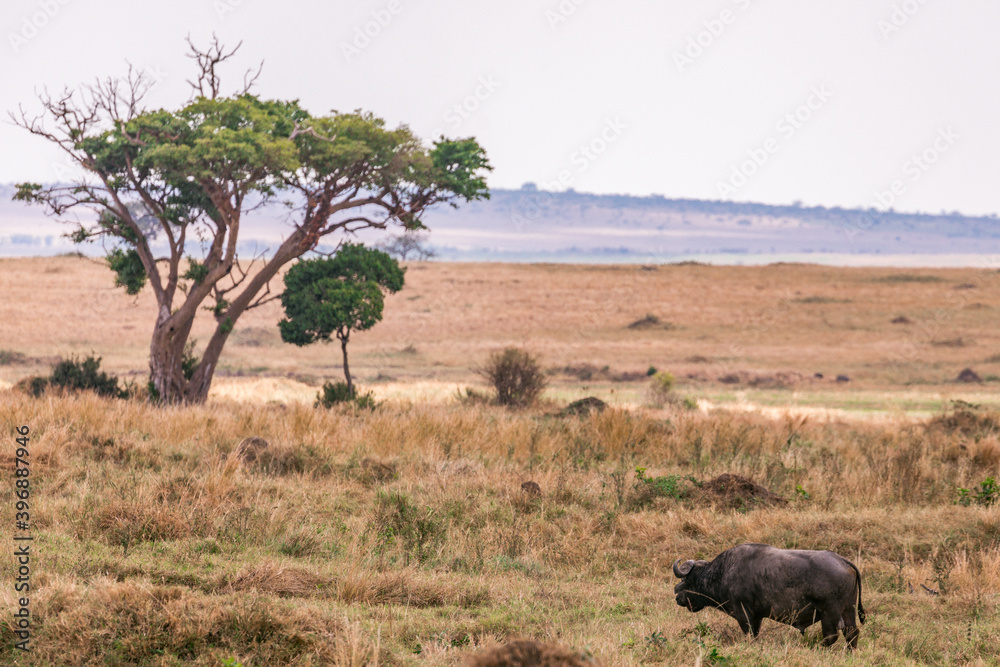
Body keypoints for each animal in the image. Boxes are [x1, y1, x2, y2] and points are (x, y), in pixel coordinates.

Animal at [673, 543, 865, 648]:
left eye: (687, 580)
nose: (677, 595)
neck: (723, 572)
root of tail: (841, 560)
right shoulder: (757, 617)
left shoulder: (744, 615)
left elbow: (749, 634)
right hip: (848, 610)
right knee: (852, 633)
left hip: (830, 613)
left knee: (830, 636)